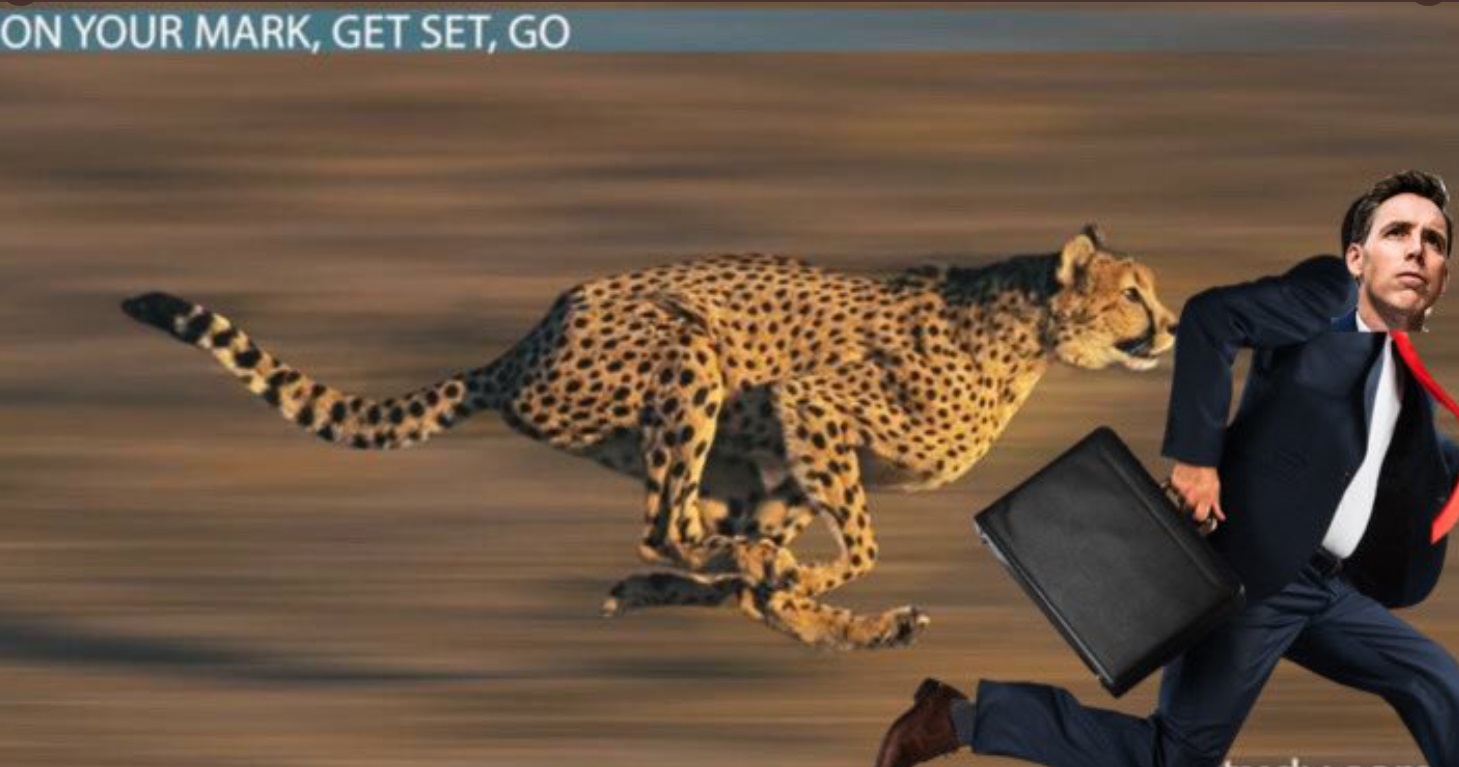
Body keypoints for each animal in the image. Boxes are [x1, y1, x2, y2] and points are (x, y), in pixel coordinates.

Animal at [121, 224, 1175, 650]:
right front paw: (806, 578)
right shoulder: (810, 402)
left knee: (694, 544)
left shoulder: (789, 447)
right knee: (668, 528)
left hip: (732, 446)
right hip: (690, 354)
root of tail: (529, 338)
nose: (1169, 326)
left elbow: (789, 573)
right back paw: (738, 576)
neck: (1030, 331)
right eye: (1132, 292)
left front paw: (808, 595)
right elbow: (859, 543)